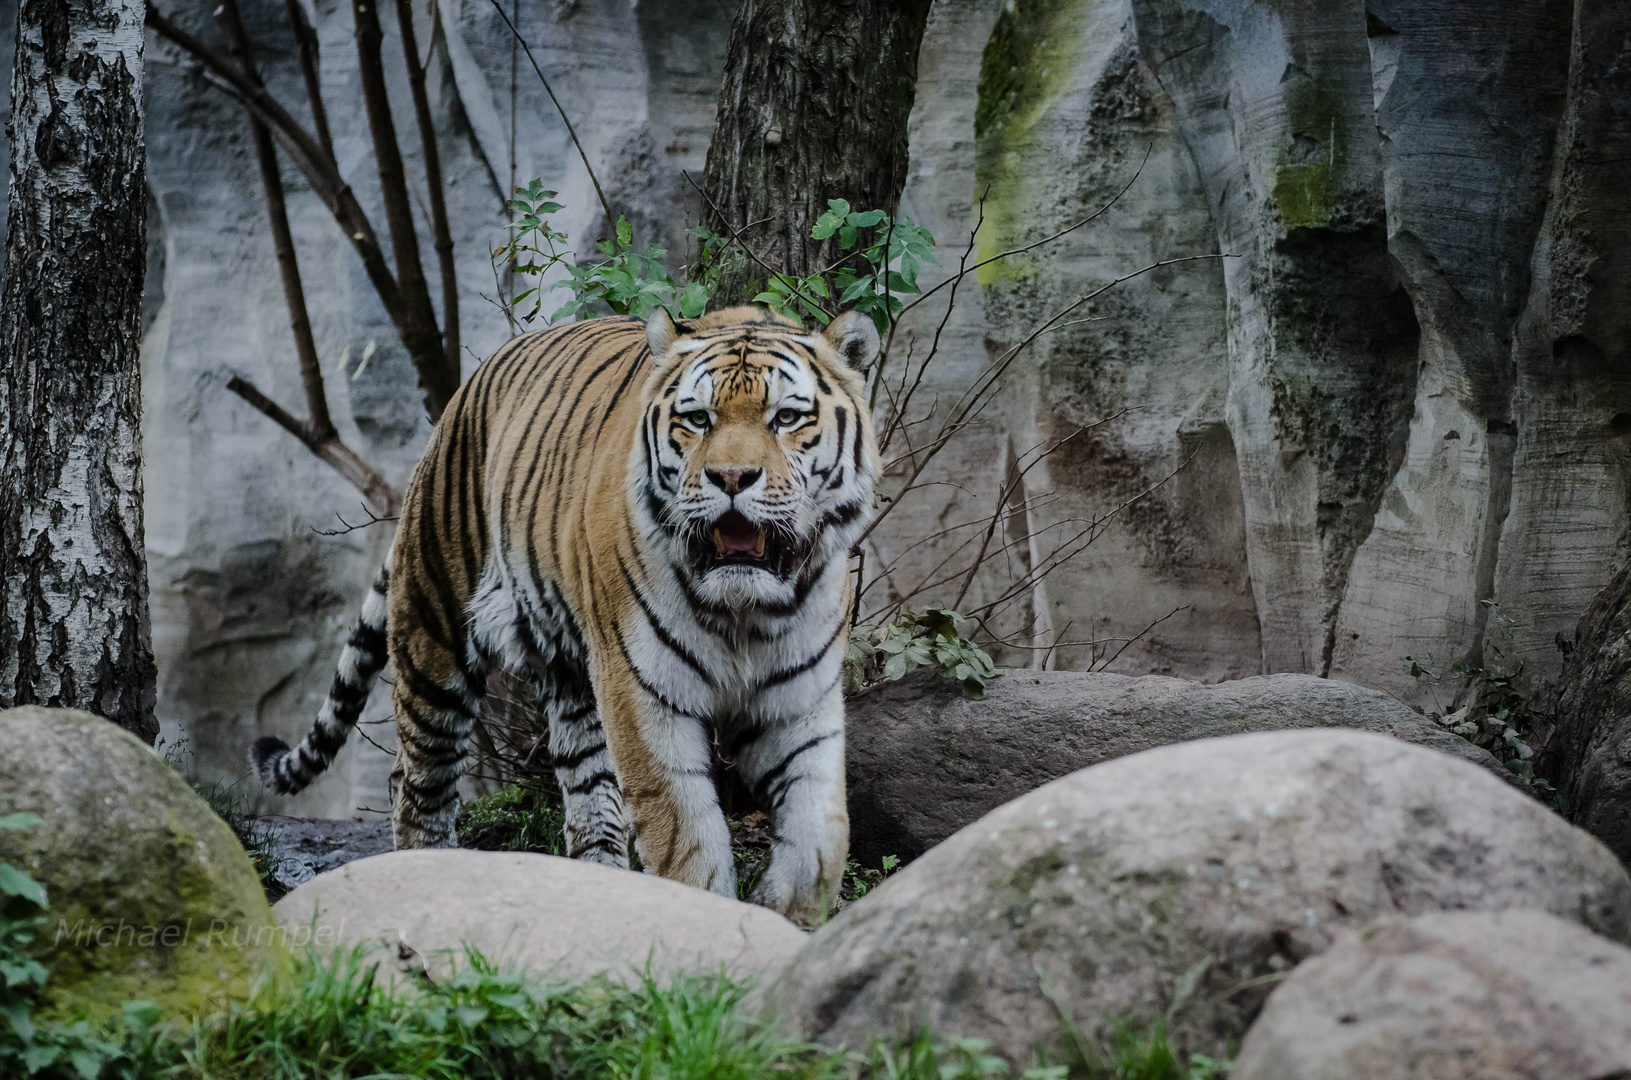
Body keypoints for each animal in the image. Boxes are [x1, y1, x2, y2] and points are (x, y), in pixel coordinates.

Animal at [250, 305, 881, 924]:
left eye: (786, 418)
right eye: (698, 419)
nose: (730, 478)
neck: (744, 608)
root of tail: (459, 399)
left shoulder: (799, 703)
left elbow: (819, 838)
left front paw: (791, 919)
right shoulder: (645, 696)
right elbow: (686, 837)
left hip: (573, 681)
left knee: (586, 801)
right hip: (435, 634)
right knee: (417, 785)